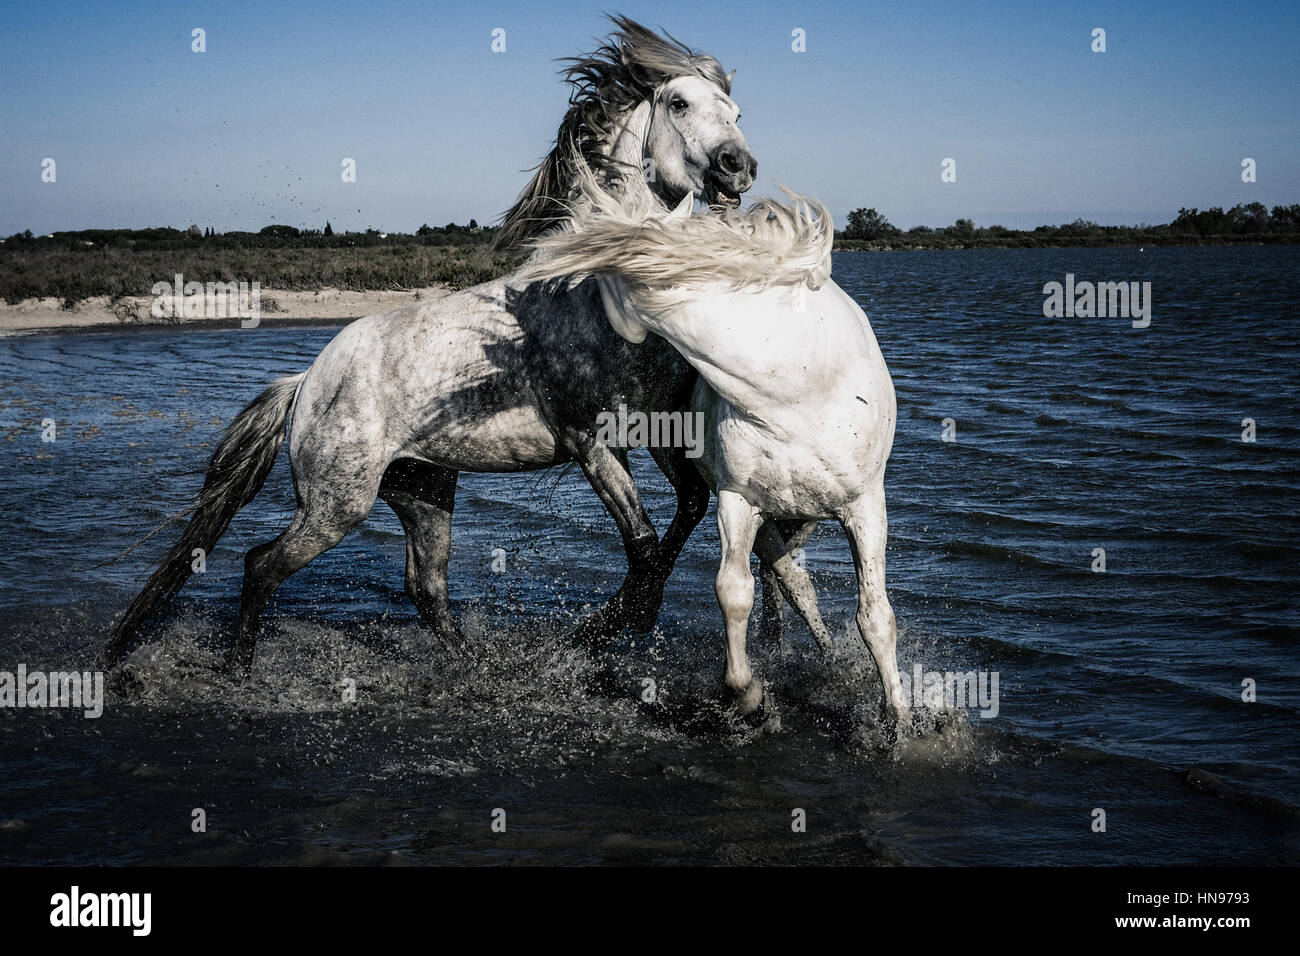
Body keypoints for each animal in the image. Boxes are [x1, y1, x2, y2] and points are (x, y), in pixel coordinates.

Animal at [104, 16, 759, 670]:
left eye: (735, 111)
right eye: (678, 102)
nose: (738, 166)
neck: (596, 292)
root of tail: (306, 383)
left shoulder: (658, 427)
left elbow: (686, 513)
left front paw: (609, 624)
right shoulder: (590, 442)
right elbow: (645, 546)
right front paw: (607, 628)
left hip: (423, 491)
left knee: (426, 586)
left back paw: (474, 665)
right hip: (337, 503)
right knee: (263, 565)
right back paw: (240, 667)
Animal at [523, 168, 911, 733]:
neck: (794, 387)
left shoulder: (864, 506)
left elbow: (875, 616)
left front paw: (897, 719)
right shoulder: (739, 500)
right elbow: (734, 591)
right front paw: (746, 695)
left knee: (795, 582)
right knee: (788, 579)